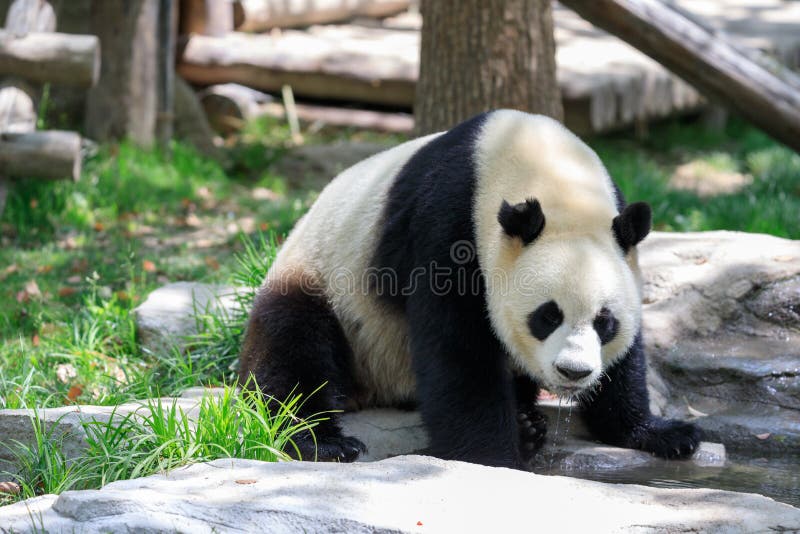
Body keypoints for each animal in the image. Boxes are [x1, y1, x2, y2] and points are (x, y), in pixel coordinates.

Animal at [239, 109, 701, 468]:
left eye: (605, 322)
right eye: (547, 316)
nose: (574, 372)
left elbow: (626, 361)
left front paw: (663, 433)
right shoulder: (448, 225)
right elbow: (458, 352)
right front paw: (492, 459)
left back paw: (528, 425)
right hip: (325, 281)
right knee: (293, 348)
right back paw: (323, 442)